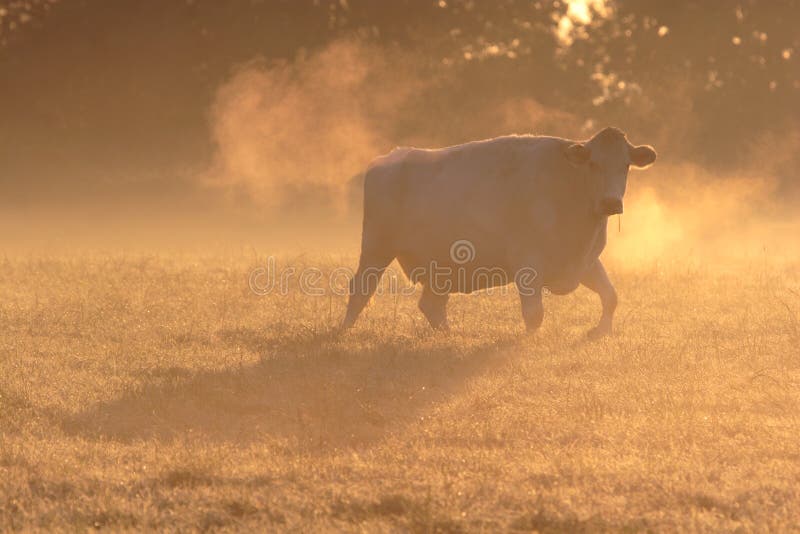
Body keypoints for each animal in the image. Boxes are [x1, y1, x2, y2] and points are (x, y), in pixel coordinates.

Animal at [342, 127, 656, 338]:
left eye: (626, 165)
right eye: (593, 163)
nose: (611, 202)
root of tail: (387, 160)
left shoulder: (585, 262)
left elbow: (610, 296)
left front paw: (599, 332)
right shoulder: (528, 264)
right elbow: (534, 313)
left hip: (439, 269)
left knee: (431, 305)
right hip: (376, 249)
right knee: (360, 291)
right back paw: (342, 332)